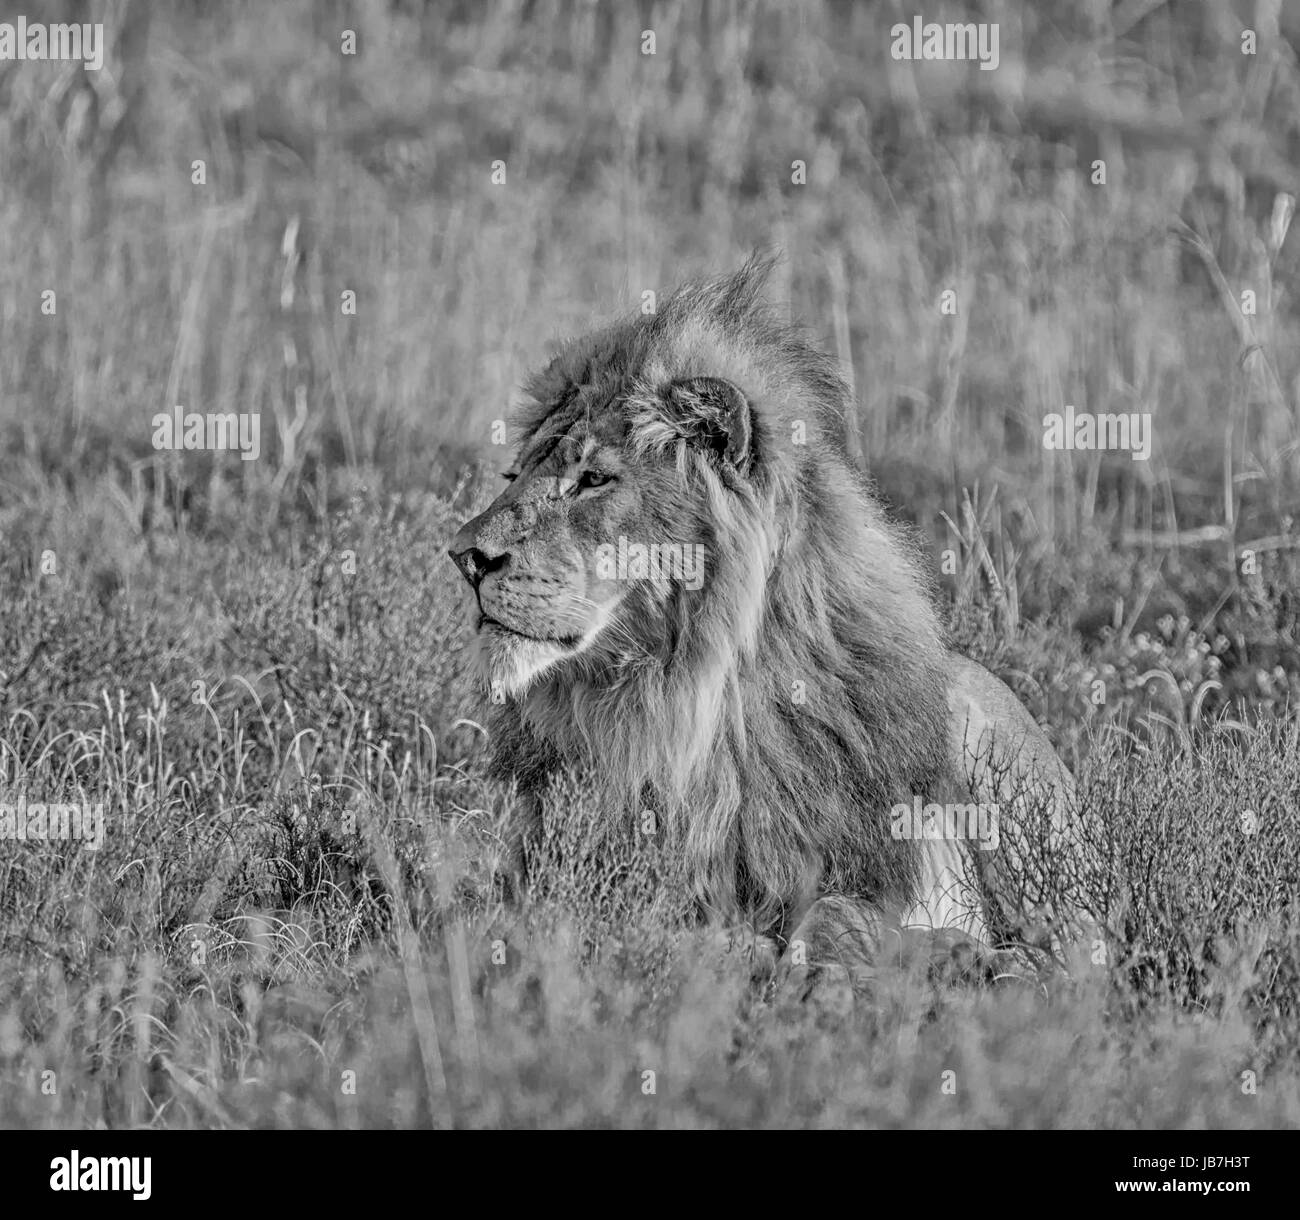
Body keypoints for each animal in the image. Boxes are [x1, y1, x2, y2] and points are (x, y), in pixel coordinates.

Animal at [449, 256, 1095, 991]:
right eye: (514, 474)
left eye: (594, 479)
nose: (465, 557)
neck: (683, 702)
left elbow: (841, 914)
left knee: (1077, 951)